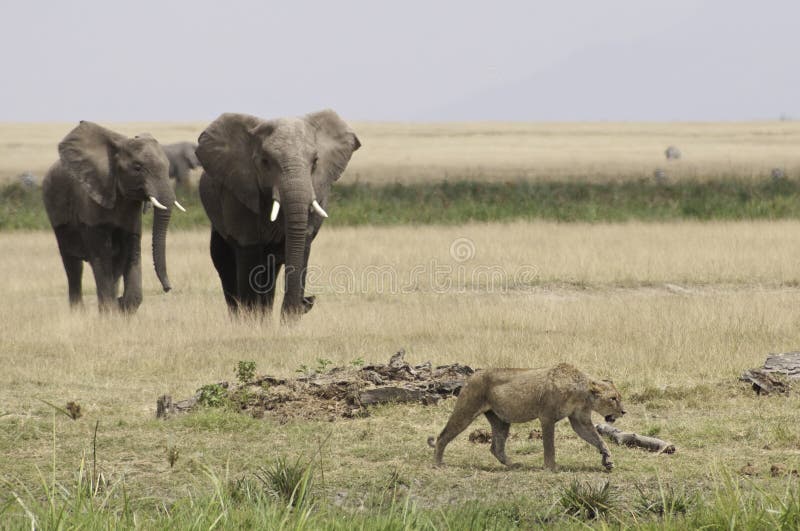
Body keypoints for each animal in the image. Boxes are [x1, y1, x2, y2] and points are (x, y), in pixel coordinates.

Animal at [42, 121, 185, 313]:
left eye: (168, 166)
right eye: (137, 167)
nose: (168, 288)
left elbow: (131, 251)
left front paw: (120, 305)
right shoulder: (90, 205)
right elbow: (102, 257)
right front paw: (110, 310)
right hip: (56, 212)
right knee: (73, 266)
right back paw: (78, 313)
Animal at [195, 109, 361, 321]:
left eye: (316, 161)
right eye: (265, 161)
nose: (307, 301)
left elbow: (302, 244)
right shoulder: (238, 194)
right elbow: (248, 250)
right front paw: (251, 323)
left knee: (270, 270)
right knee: (224, 261)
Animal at [427, 363, 626, 471]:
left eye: (619, 396)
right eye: (613, 398)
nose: (624, 412)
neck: (582, 393)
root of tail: (472, 375)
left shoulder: (579, 420)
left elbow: (597, 438)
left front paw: (607, 459)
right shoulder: (547, 417)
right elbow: (549, 446)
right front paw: (551, 467)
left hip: (501, 421)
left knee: (496, 447)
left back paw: (514, 465)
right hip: (466, 410)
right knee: (442, 436)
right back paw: (437, 464)